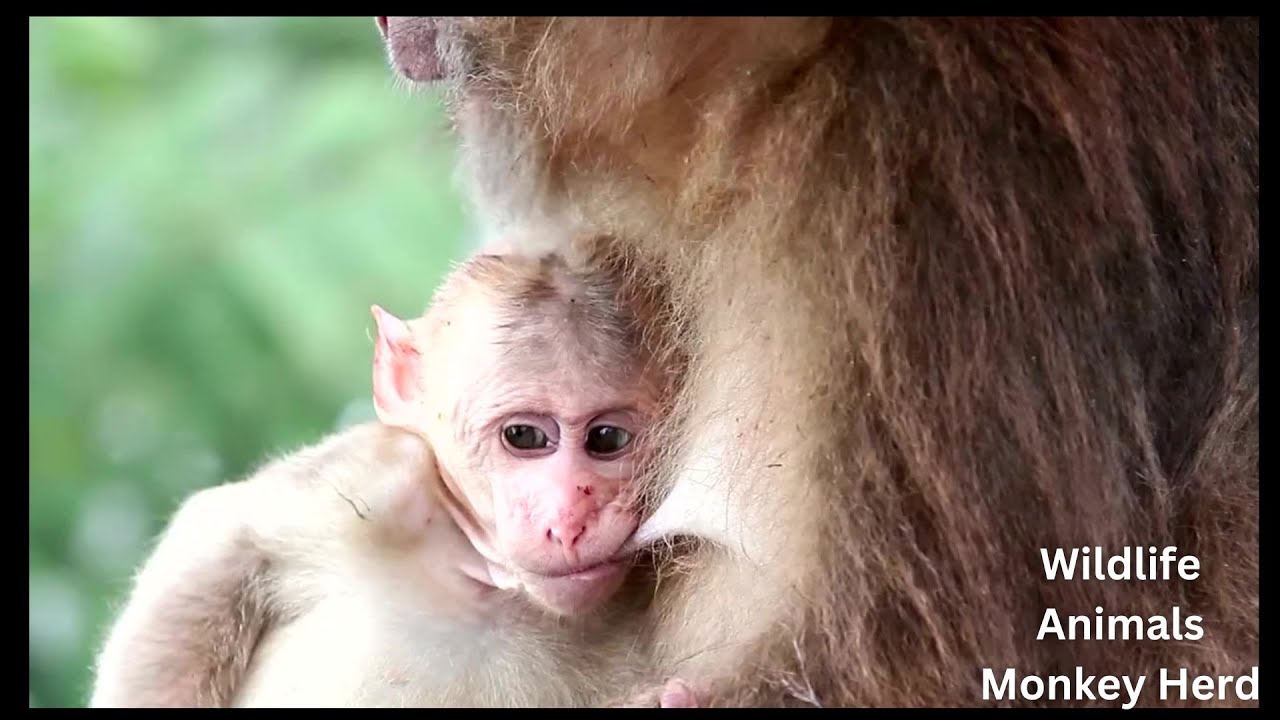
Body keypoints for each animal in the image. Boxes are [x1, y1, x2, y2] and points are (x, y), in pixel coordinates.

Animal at [90, 250, 675, 707]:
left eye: (606, 439)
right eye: (525, 436)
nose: (569, 518)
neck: (486, 579)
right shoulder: (379, 479)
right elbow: (220, 531)